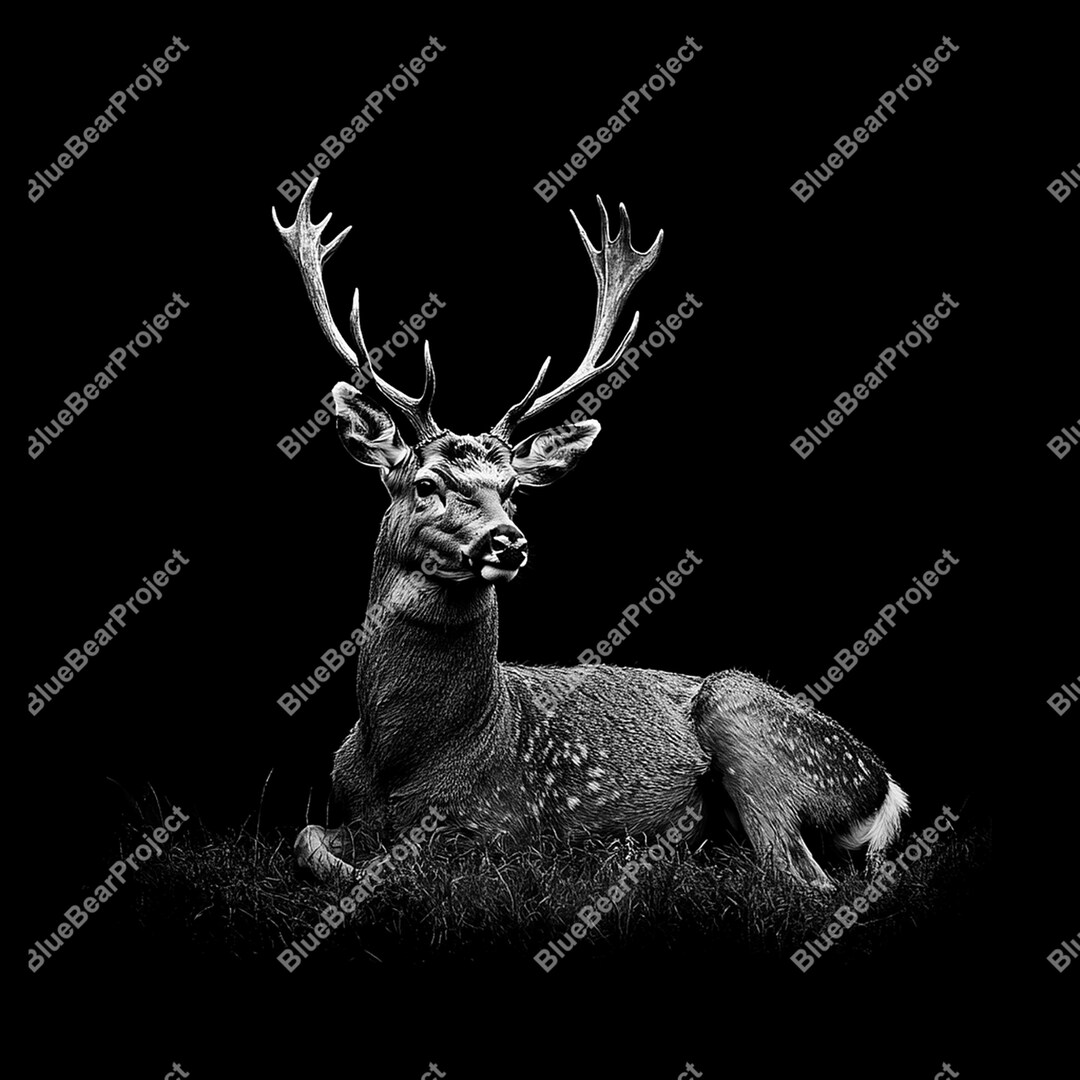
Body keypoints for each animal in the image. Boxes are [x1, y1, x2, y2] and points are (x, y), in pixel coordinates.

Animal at [272, 178, 909, 891]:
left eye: (514, 489)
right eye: (426, 483)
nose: (508, 541)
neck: (402, 759)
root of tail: (888, 791)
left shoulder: (501, 822)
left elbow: (400, 863)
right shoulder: (342, 801)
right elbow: (305, 836)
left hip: (746, 717)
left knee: (801, 877)